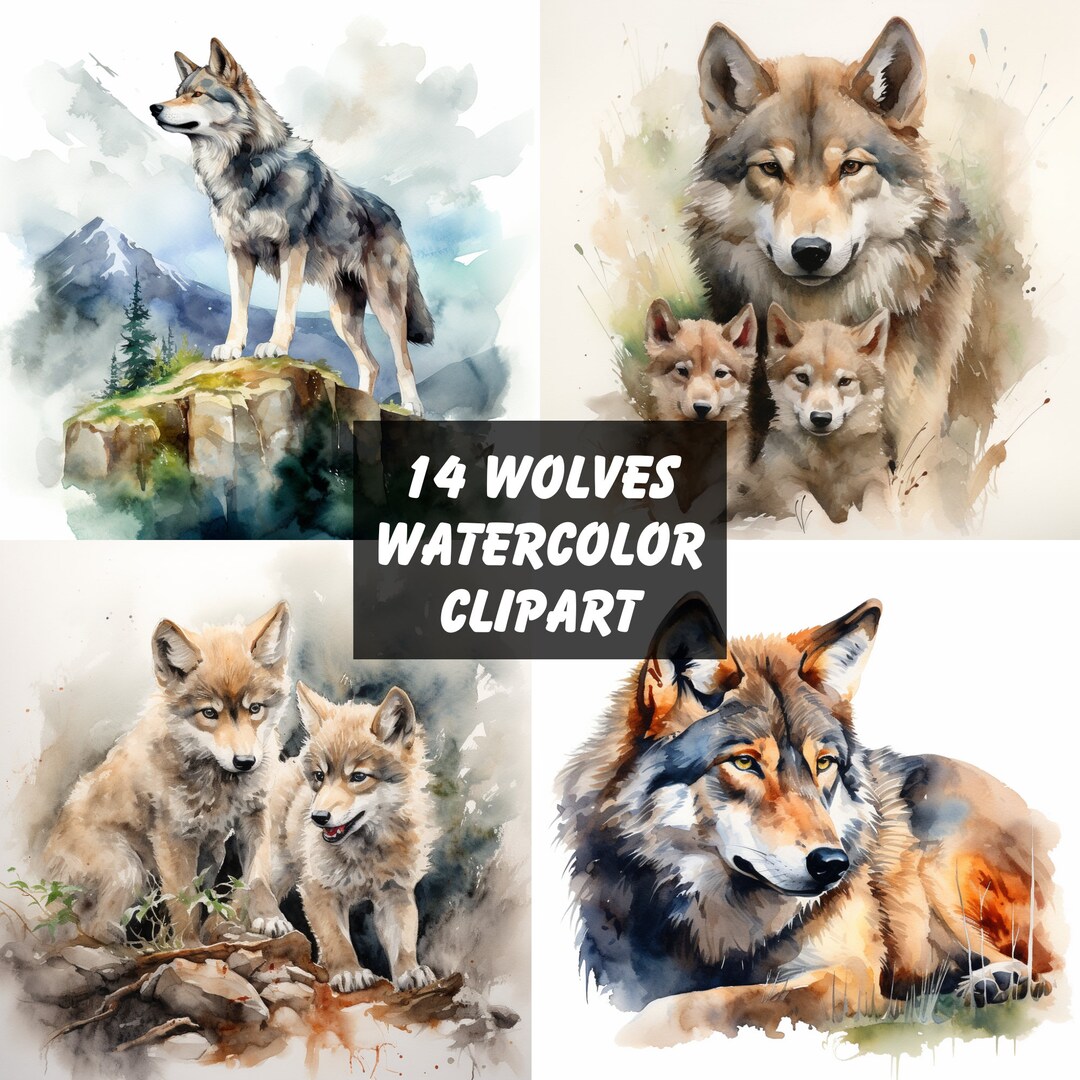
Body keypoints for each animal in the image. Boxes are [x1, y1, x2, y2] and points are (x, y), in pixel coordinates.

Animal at [44, 603, 294, 946]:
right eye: (209, 713)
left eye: (255, 708)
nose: (245, 761)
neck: (221, 785)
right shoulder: (174, 837)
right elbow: (184, 903)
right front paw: (189, 946)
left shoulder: (254, 816)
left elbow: (258, 877)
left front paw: (269, 917)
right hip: (129, 870)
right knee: (93, 928)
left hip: (211, 855)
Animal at [150, 39, 434, 415]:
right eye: (177, 94)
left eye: (197, 94)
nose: (154, 108)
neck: (246, 165)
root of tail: (394, 215)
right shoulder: (238, 254)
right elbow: (238, 311)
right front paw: (232, 348)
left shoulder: (291, 249)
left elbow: (285, 308)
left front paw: (275, 346)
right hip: (342, 318)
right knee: (371, 364)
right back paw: (364, 404)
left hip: (385, 305)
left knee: (403, 359)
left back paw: (412, 406)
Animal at [268, 682, 438, 992]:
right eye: (320, 776)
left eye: (358, 777)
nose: (318, 817)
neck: (366, 852)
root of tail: (284, 764)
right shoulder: (318, 889)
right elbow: (337, 940)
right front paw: (349, 971)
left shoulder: (395, 893)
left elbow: (403, 942)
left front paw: (410, 972)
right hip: (277, 872)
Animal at [557, 594, 1060, 1042]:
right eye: (745, 763)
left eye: (824, 764)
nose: (833, 864)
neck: (721, 924)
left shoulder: (848, 973)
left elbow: (714, 1002)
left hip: (939, 869)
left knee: (1044, 969)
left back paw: (996, 983)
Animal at [763, 303, 893, 523]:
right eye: (802, 377)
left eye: (845, 381)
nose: (820, 418)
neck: (827, 460)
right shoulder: (783, 477)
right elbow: (810, 507)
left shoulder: (874, 475)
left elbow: (877, 506)